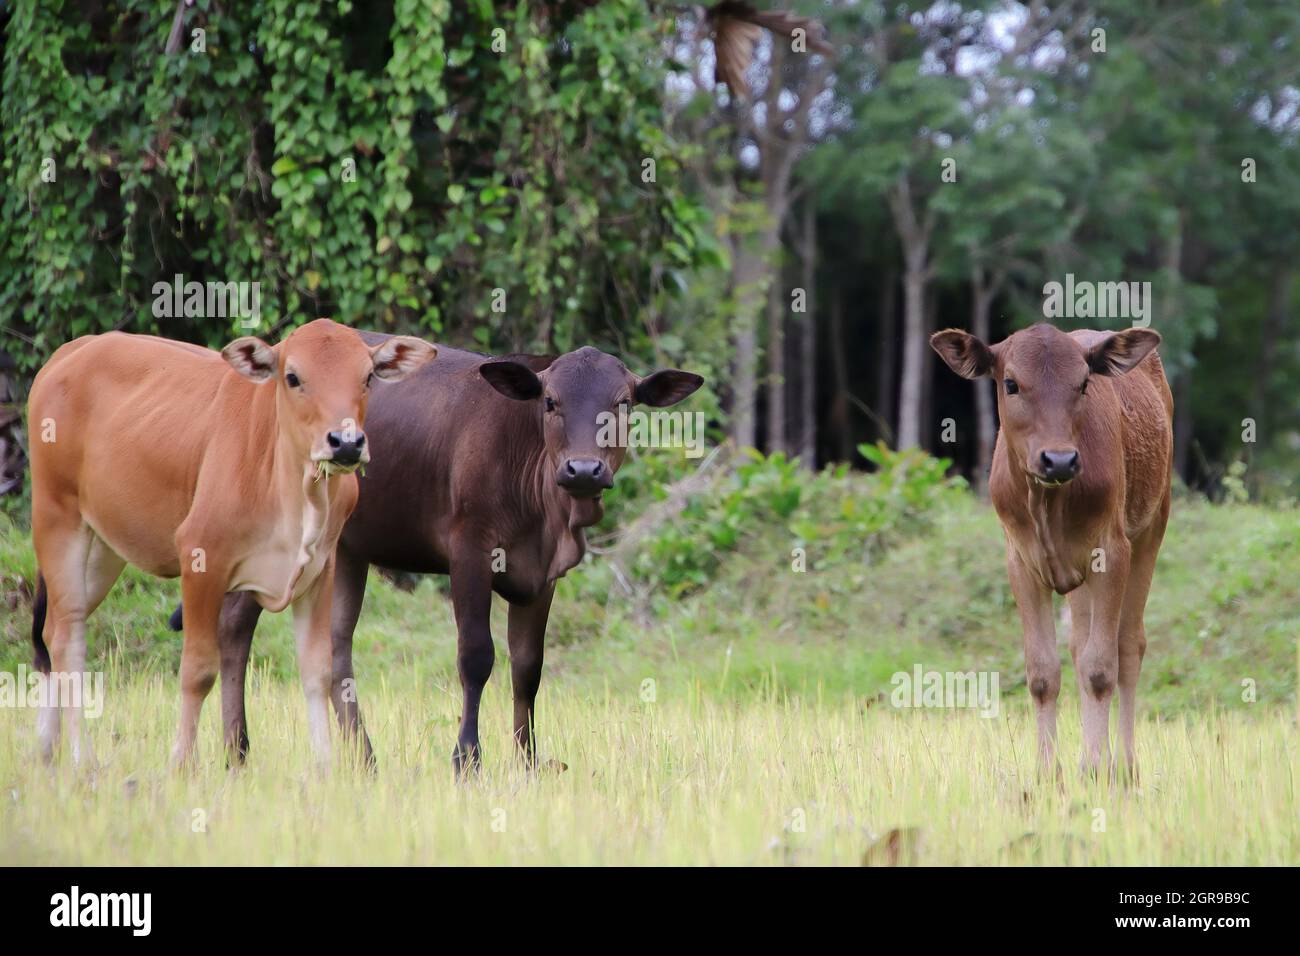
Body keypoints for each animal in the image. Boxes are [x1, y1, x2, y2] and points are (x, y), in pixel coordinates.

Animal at [27, 319, 436, 768]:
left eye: (367, 378)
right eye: (293, 377)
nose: (346, 443)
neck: (294, 490)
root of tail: (73, 351)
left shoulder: (318, 572)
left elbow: (318, 672)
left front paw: (325, 769)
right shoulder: (202, 557)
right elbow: (198, 671)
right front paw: (181, 765)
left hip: (103, 547)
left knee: (56, 628)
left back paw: (47, 751)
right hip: (58, 519)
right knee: (66, 639)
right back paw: (82, 758)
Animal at [187, 337, 703, 774]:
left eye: (622, 403)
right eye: (550, 402)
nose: (583, 469)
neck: (544, 510)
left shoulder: (543, 576)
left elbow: (528, 668)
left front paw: (528, 760)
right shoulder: (470, 550)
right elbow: (476, 655)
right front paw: (467, 757)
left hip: (347, 550)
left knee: (335, 645)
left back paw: (364, 758)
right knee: (236, 623)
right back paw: (236, 750)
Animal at [930, 323, 1171, 779]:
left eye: (1083, 383)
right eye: (1011, 383)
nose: (1059, 460)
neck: (1048, 505)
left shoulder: (1112, 551)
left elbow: (1102, 668)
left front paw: (1096, 769)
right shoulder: (1020, 561)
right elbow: (1044, 672)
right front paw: (1049, 774)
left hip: (1153, 524)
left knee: (1129, 646)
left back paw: (1125, 767)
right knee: (1078, 644)